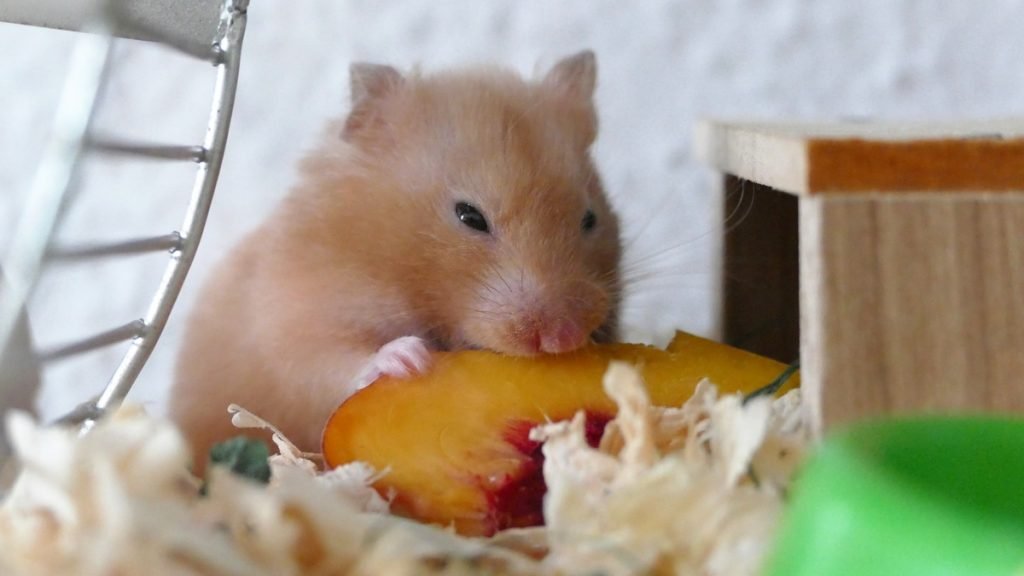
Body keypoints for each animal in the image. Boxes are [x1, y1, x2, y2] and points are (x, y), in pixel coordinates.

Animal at [169, 51, 622, 464]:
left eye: (589, 217)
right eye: (470, 216)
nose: (562, 337)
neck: (401, 274)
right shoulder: (293, 319)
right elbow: (327, 362)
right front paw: (409, 359)